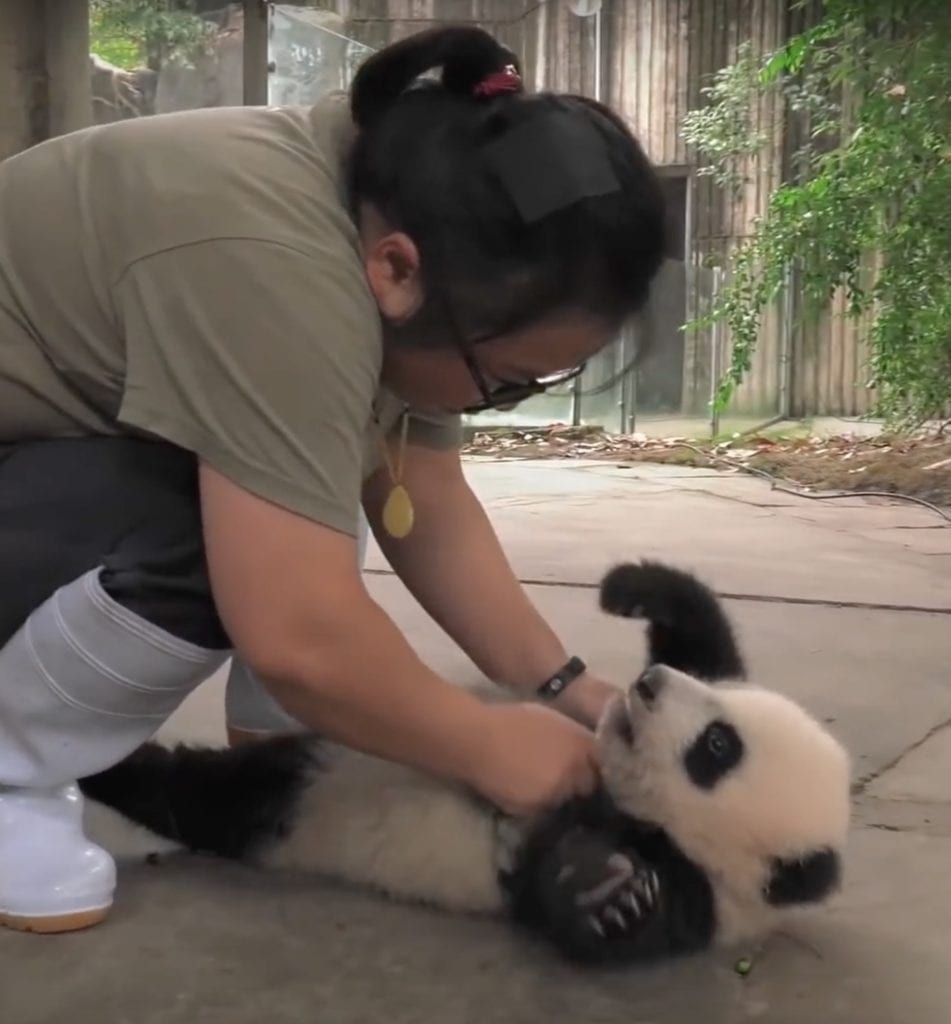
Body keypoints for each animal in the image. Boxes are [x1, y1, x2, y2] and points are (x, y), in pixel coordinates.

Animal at [79, 560, 851, 966]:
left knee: (200, 798)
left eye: (716, 750)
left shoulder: (695, 893)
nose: (649, 685)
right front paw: (632, 587)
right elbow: (701, 629)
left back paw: (107, 767)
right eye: (721, 725)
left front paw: (612, 893)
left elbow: (564, 907)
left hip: (286, 804)